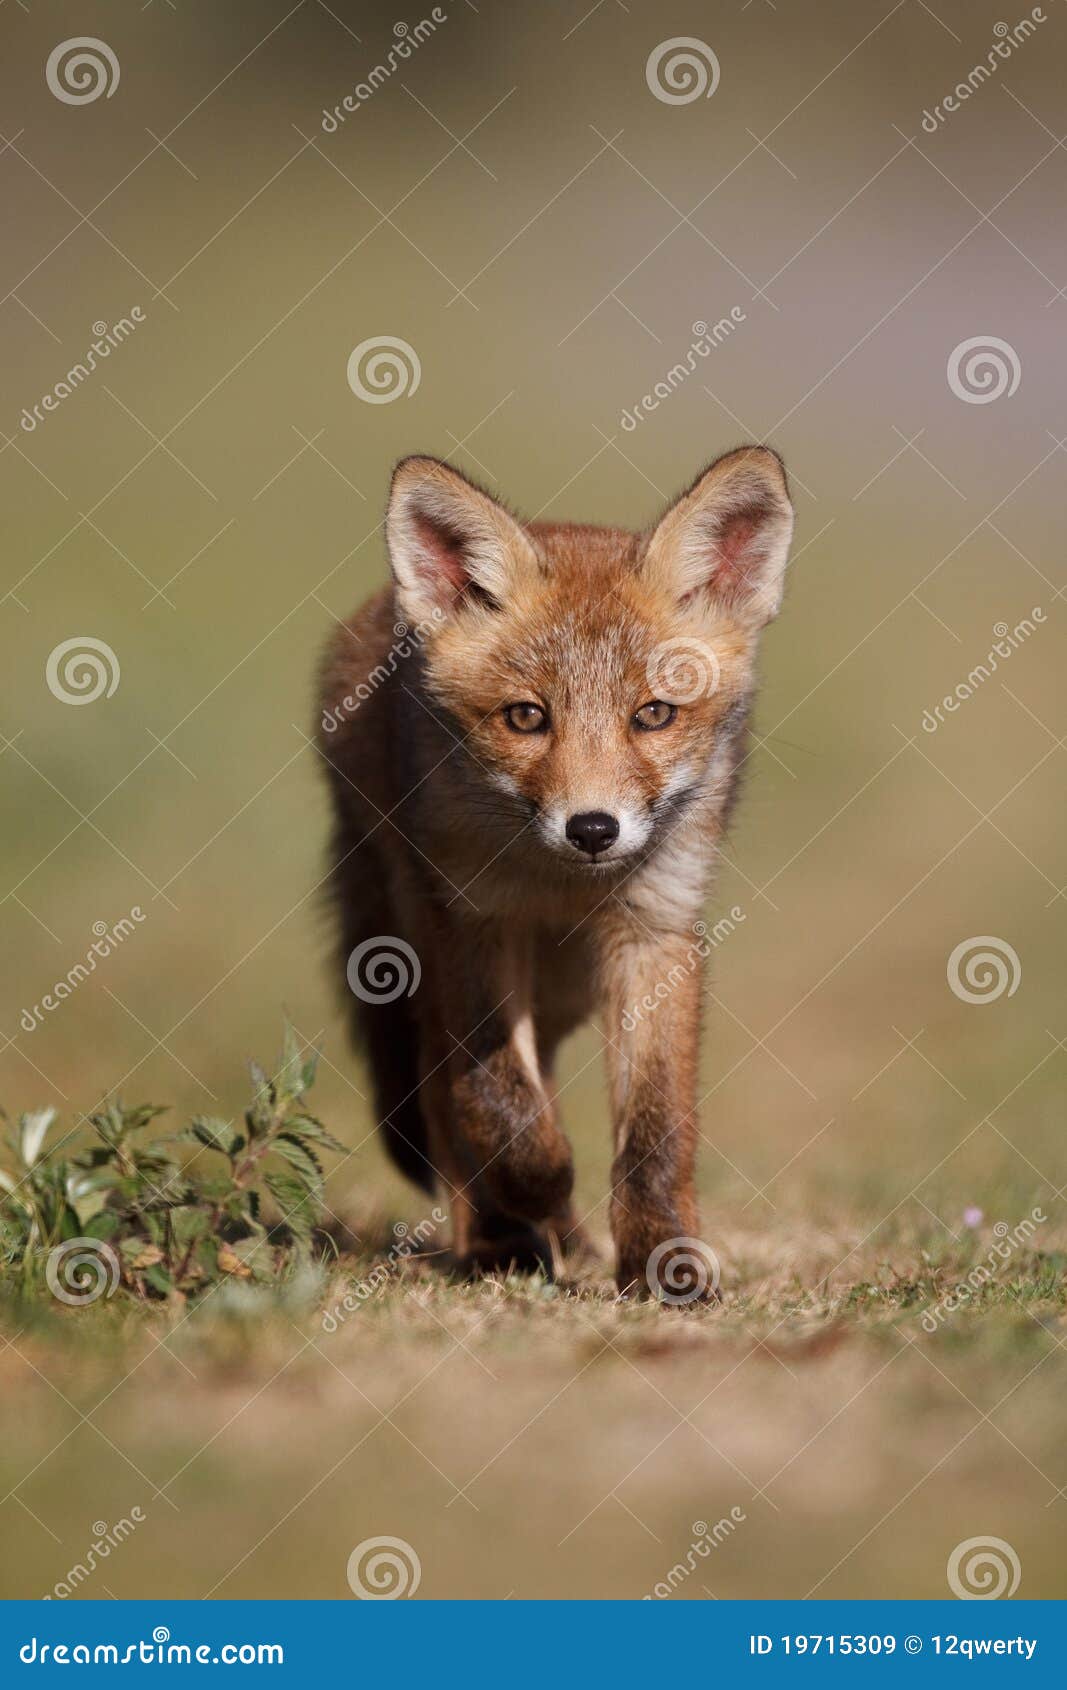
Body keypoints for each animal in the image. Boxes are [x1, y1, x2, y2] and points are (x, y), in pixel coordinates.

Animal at [316, 444, 795, 1300]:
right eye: (526, 717)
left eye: (653, 714)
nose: (593, 829)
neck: (561, 887)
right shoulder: (470, 920)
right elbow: (495, 1099)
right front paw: (535, 1189)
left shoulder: (655, 932)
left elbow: (656, 1125)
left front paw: (658, 1257)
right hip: (413, 940)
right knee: (441, 1092)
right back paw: (501, 1238)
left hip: (565, 987)